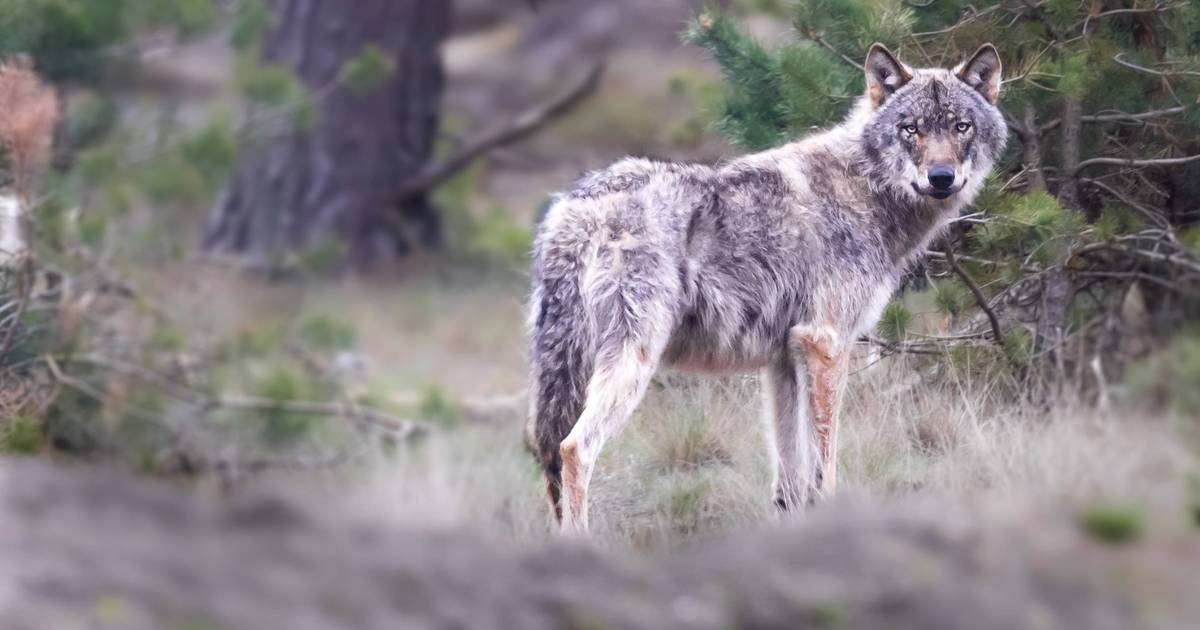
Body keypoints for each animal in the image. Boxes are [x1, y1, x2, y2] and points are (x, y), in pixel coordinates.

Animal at [527, 43, 1006, 532]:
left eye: (960, 126)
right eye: (912, 129)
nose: (942, 177)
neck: (865, 188)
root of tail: (579, 206)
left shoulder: (783, 360)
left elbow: (790, 478)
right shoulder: (825, 345)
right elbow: (824, 465)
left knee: (549, 453)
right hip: (633, 361)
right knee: (573, 449)